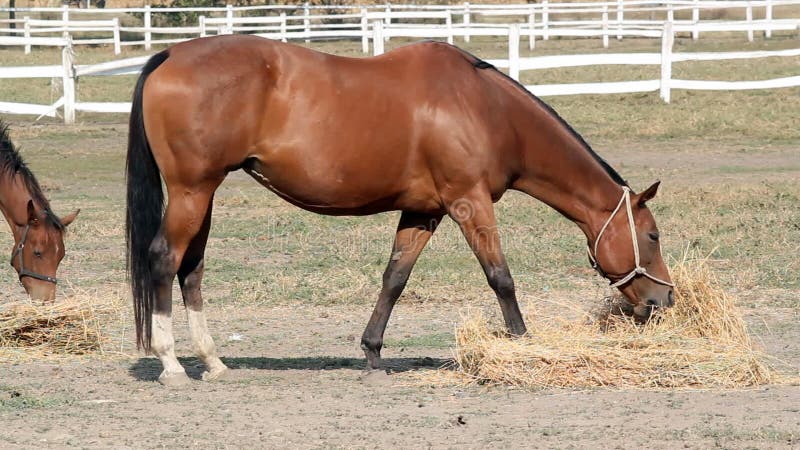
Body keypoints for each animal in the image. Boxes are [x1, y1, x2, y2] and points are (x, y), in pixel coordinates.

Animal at [125, 35, 674, 386]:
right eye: (652, 236)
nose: (663, 300)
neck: (485, 108)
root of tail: (170, 54)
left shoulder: (423, 212)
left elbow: (394, 279)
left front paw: (372, 353)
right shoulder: (468, 202)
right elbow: (501, 277)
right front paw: (522, 345)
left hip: (204, 195)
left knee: (192, 269)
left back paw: (214, 361)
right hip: (193, 191)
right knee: (164, 260)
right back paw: (172, 365)